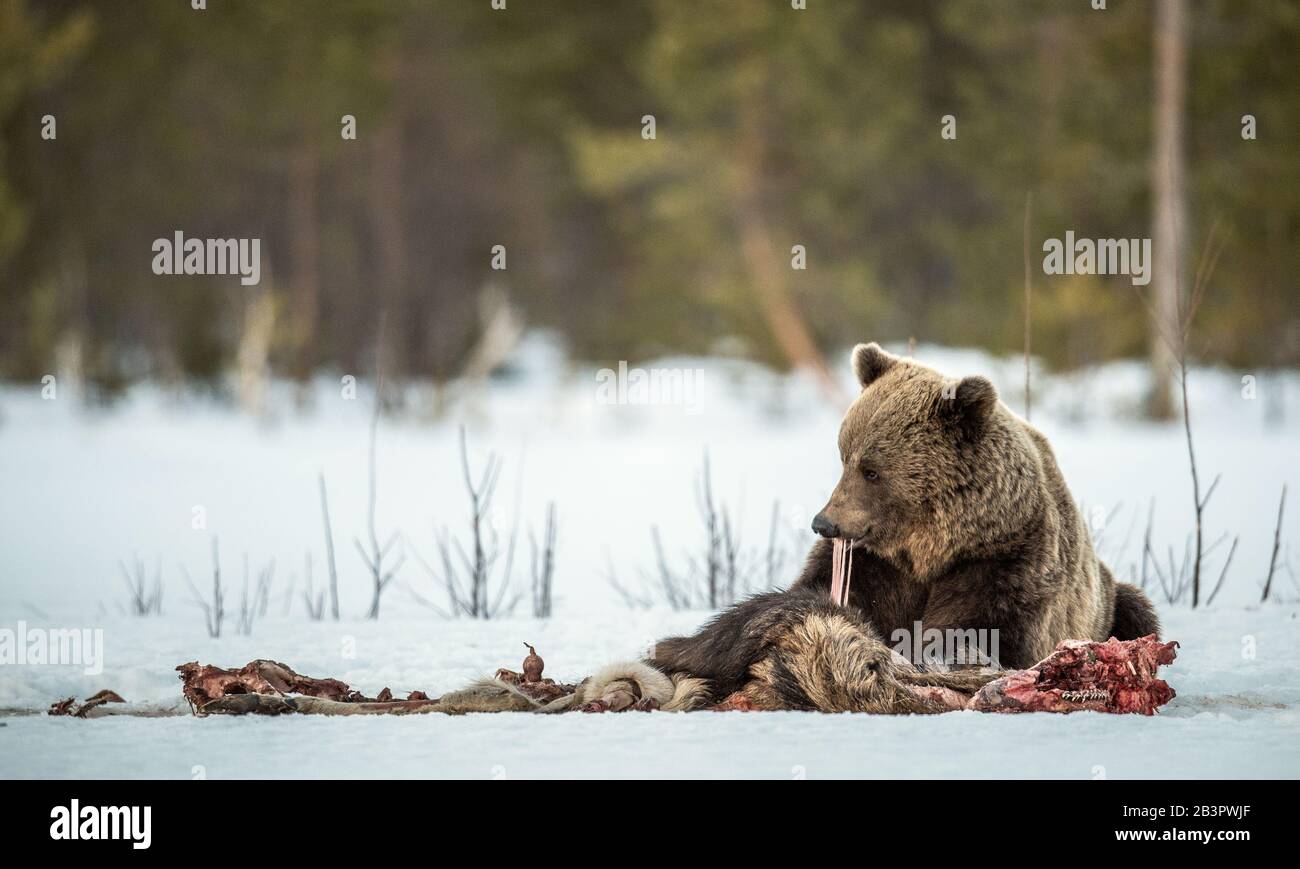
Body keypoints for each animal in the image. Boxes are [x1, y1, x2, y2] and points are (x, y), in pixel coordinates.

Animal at [647, 342, 1160, 712]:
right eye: (844, 455)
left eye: (872, 470)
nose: (823, 522)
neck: (934, 546)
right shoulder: (881, 566)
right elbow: (829, 597)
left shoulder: (1007, 564)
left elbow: (978, 636)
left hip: (1108, 602)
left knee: (1138, 611)